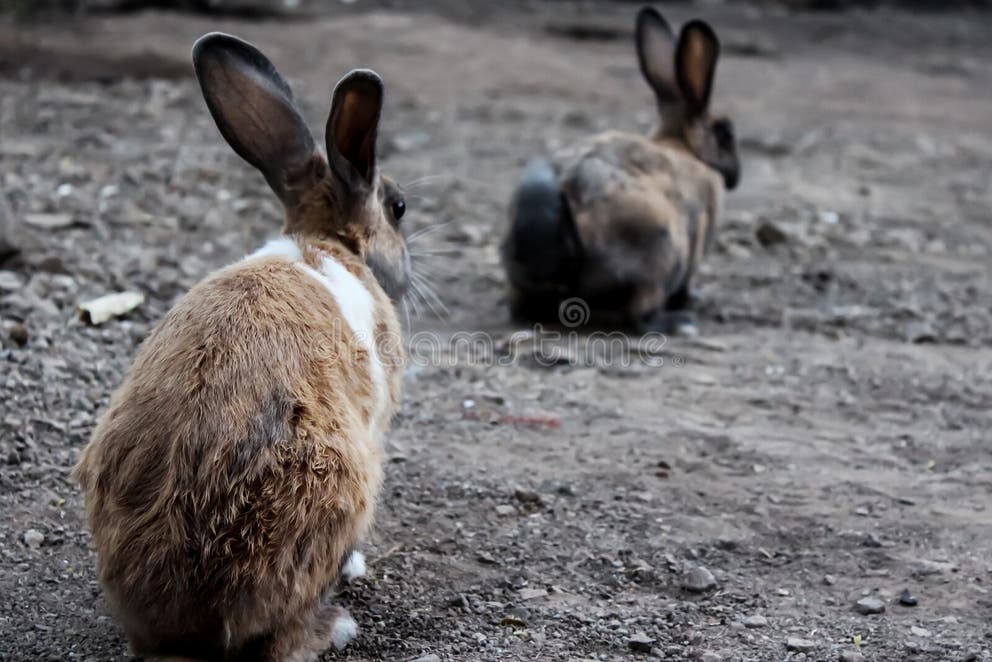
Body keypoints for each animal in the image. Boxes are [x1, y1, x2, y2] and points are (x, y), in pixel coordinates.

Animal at [73, 32, 411, 661]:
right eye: (397, 206)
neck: (326, 241)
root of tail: (194, 625)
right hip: (343, 488)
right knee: (283, 640)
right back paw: (337, 623)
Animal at [502, 7, 740, 335]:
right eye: (725, 133)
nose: (736, 176)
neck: (684, 146)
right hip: (662, 253)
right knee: (641, 316)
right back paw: (680, 320)